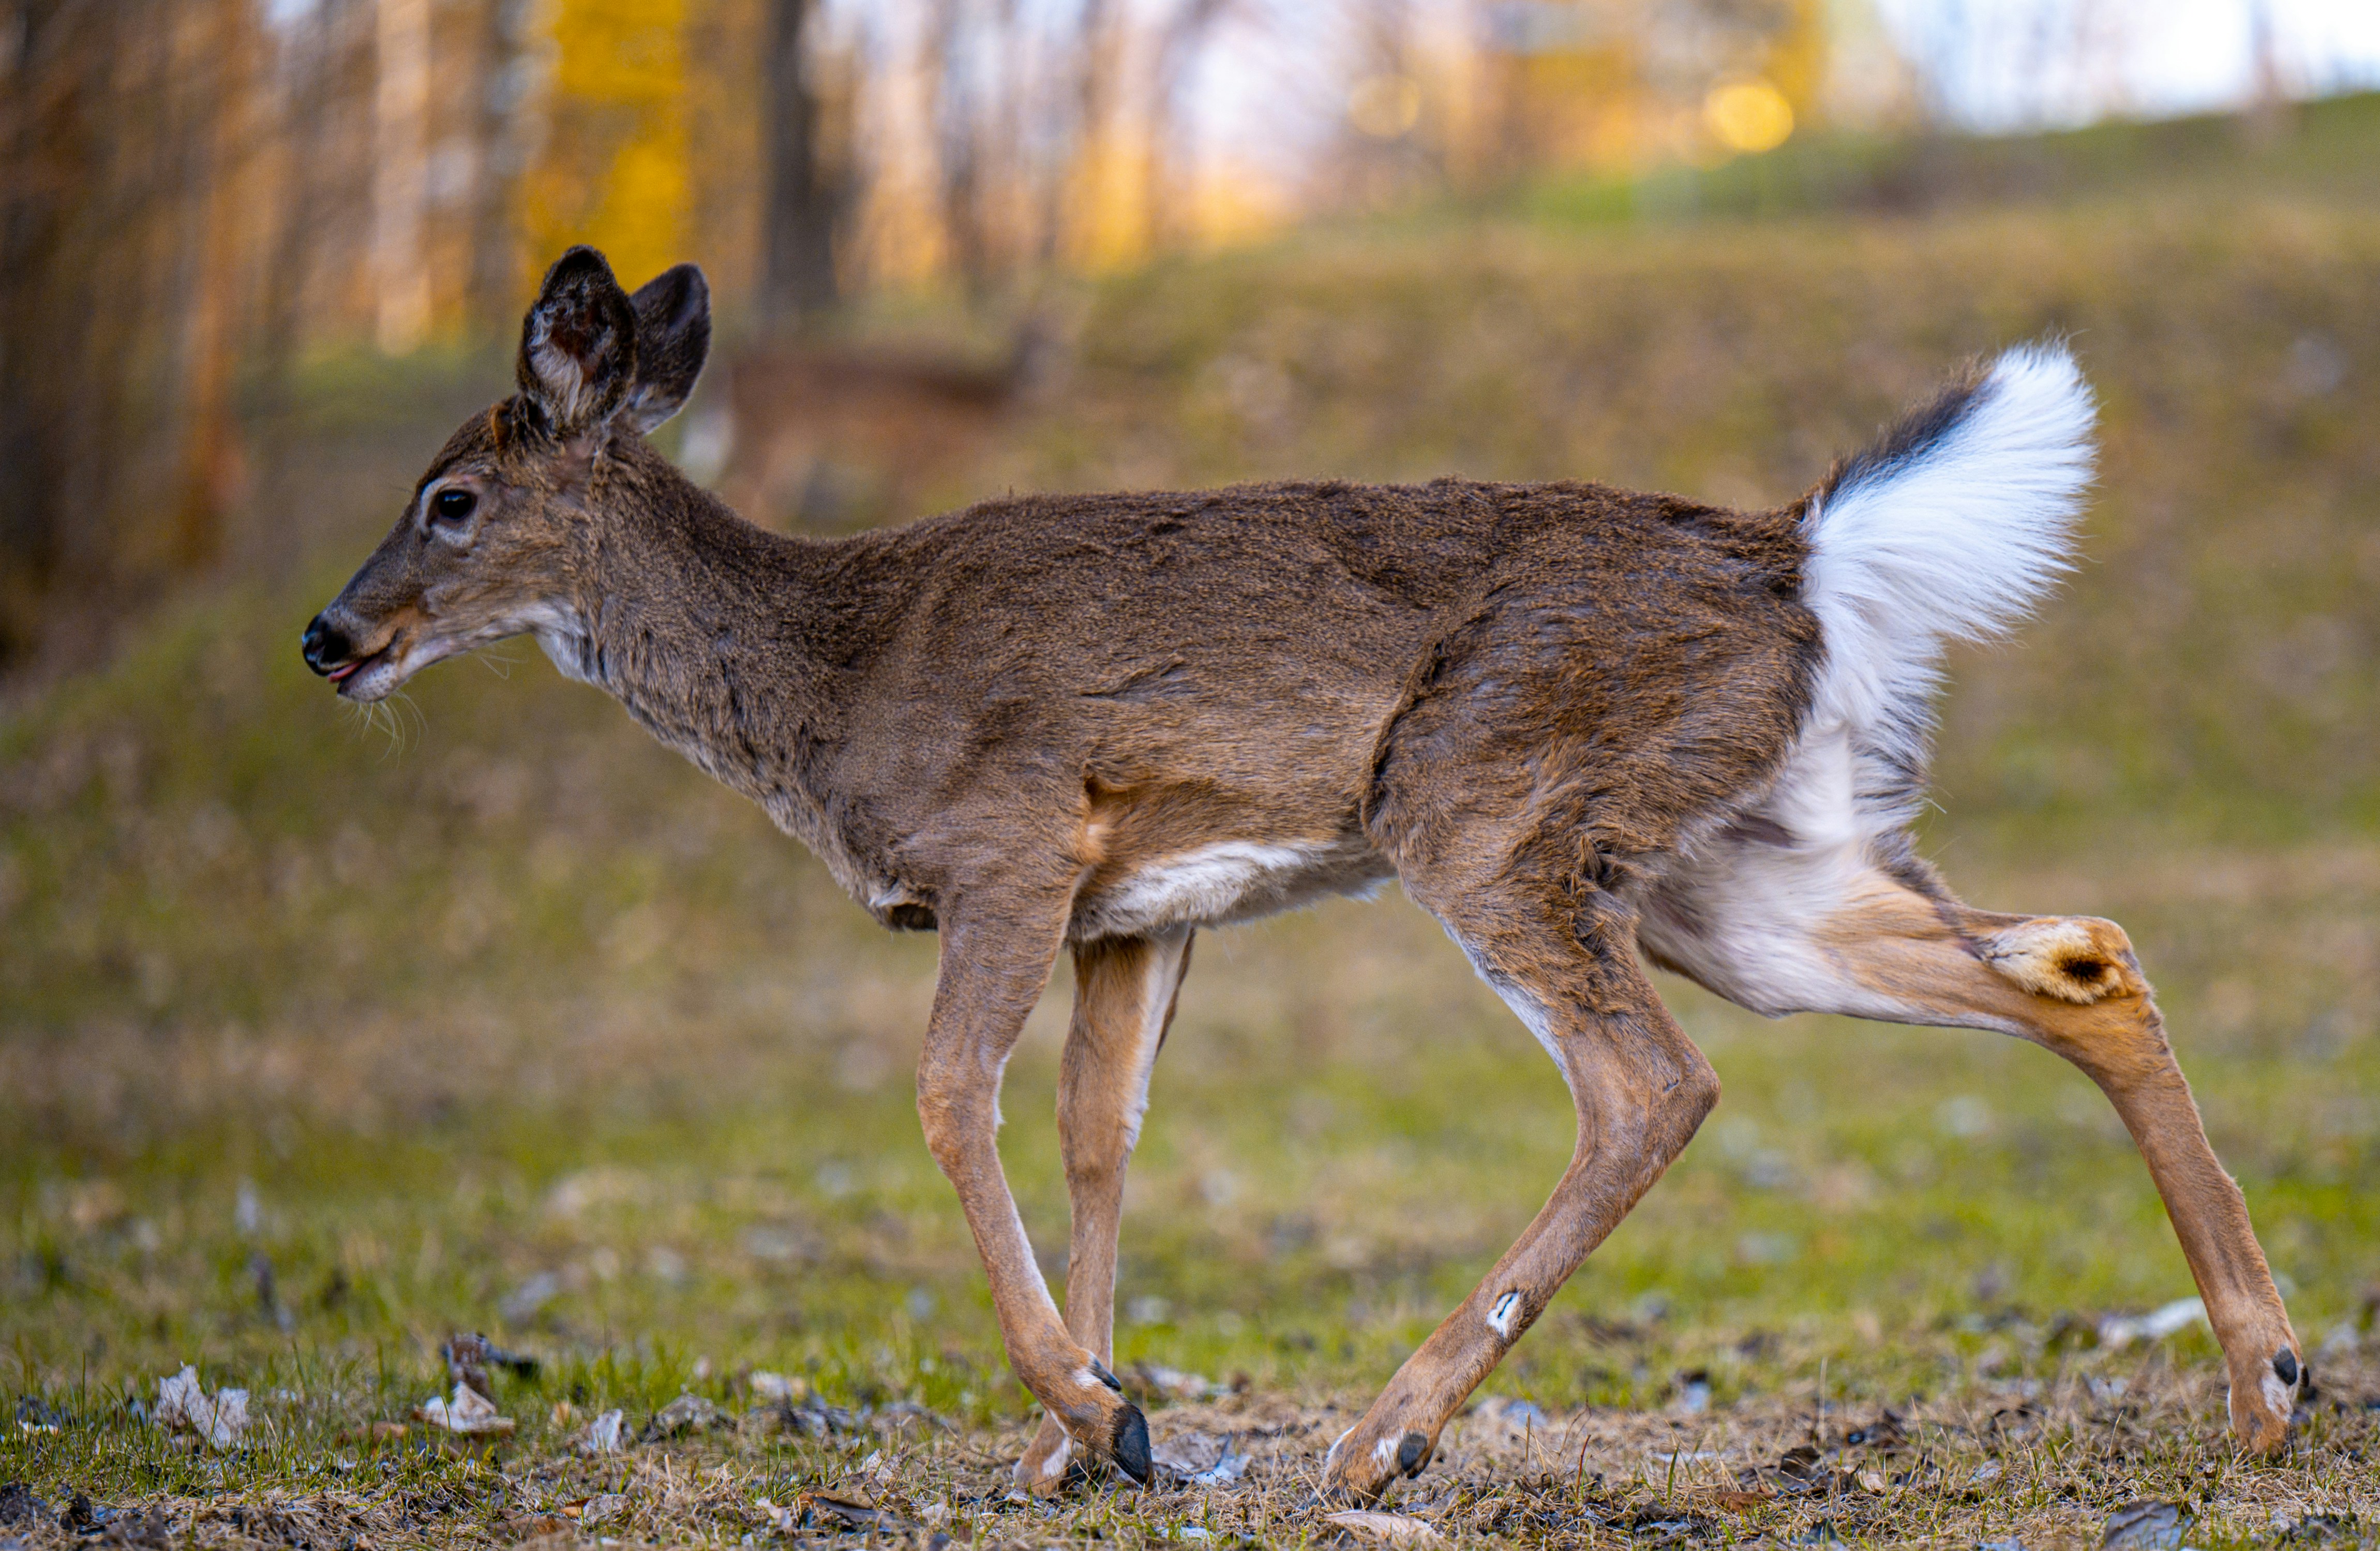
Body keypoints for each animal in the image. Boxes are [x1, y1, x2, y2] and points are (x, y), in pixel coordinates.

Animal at [303, 247, 2305, 1502]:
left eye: (451, 500)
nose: (328, 636)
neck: (827, 672)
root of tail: (1804, 550)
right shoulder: (1134, 908)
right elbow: (1096, 1135)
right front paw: (1082, 1431)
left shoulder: (1011, 837)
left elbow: (950, 1098)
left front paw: (1087, 1411)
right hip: (1739, 866)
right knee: (2078, 959)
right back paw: (2270, 1389)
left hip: (1477, 798)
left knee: (1650, 1082)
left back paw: (1384, 1439)